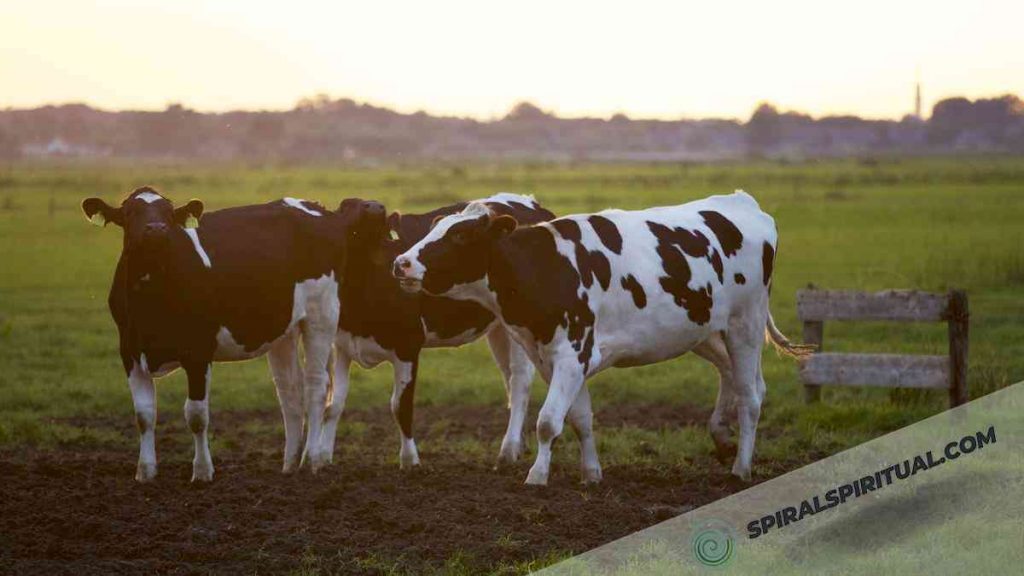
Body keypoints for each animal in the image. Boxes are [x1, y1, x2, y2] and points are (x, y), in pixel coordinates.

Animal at [81, 187, 356, 482]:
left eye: (168, 213)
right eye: (131, 213)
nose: (156, 229)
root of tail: (317, 207)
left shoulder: (198, 351)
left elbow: (196, 415)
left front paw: (202, 471)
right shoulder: (129, 350)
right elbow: (143, 414)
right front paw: (145, 472)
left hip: (321, 315)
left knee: (316, 386)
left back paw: (312, 460)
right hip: (285, 329)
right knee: (290, 391)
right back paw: (290, 463)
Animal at [315, 193, 555, 468]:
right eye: (345, 205)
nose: (376, 207)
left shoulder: (408, 346)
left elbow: (400, 406)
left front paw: (410, 461)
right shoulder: (342, 345)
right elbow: (334, 404)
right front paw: (322, 458)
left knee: (519, 382)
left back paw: (508, 449)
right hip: (500, 329)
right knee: (509, 379)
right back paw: (519, 445)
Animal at [393, 190, 812, 485]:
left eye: (461, 235)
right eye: (435, 228)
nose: (401, 262)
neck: (546, 266)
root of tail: (743, 202)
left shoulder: (572, 353)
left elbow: (548, 421)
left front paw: (537, 475)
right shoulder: (555, 358)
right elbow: (580, 418)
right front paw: (591, 473)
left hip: (746, 324)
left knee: (751, 396)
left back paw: (741, 467)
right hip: (704, 330)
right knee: (736, 378)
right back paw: (722, 438)